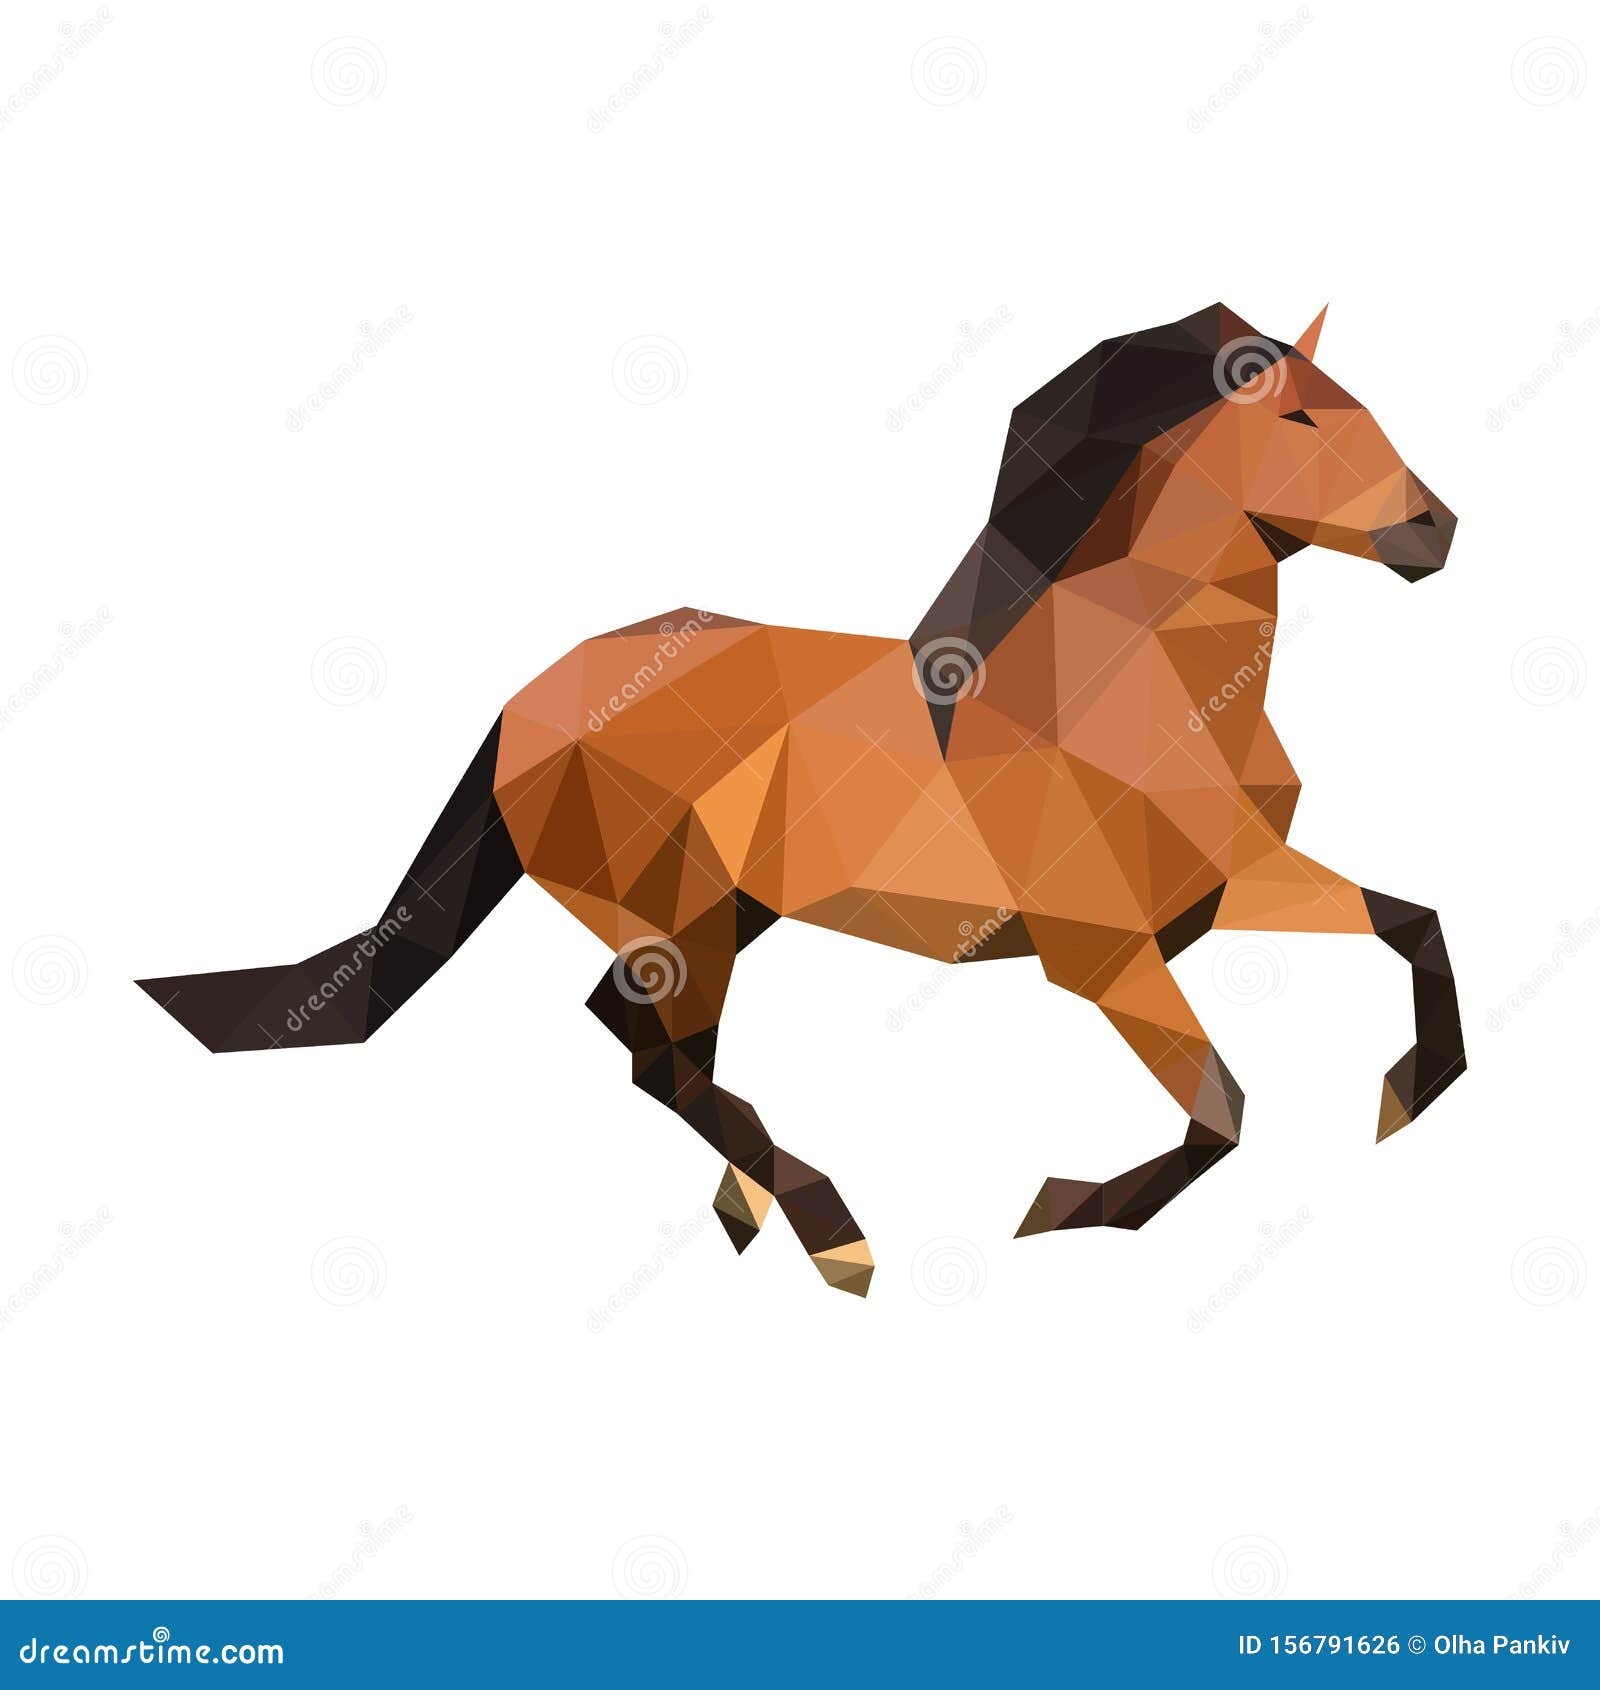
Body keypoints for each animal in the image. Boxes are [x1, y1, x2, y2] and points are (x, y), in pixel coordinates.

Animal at [139, 302, 1465, 1299]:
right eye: (1299, 415)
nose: (1435, 531)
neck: (1145, 689)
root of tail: (531, 702)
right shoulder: (1103, 957)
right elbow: (1223, 1110)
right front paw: (1062, 1208)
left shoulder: (1231, 890)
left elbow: (1413, 927)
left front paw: (1405, 1099)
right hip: (676, 917)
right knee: (656, 1062)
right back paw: (837, 1239)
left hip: (723, 917)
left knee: (655, 1049)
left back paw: (750, 1212)